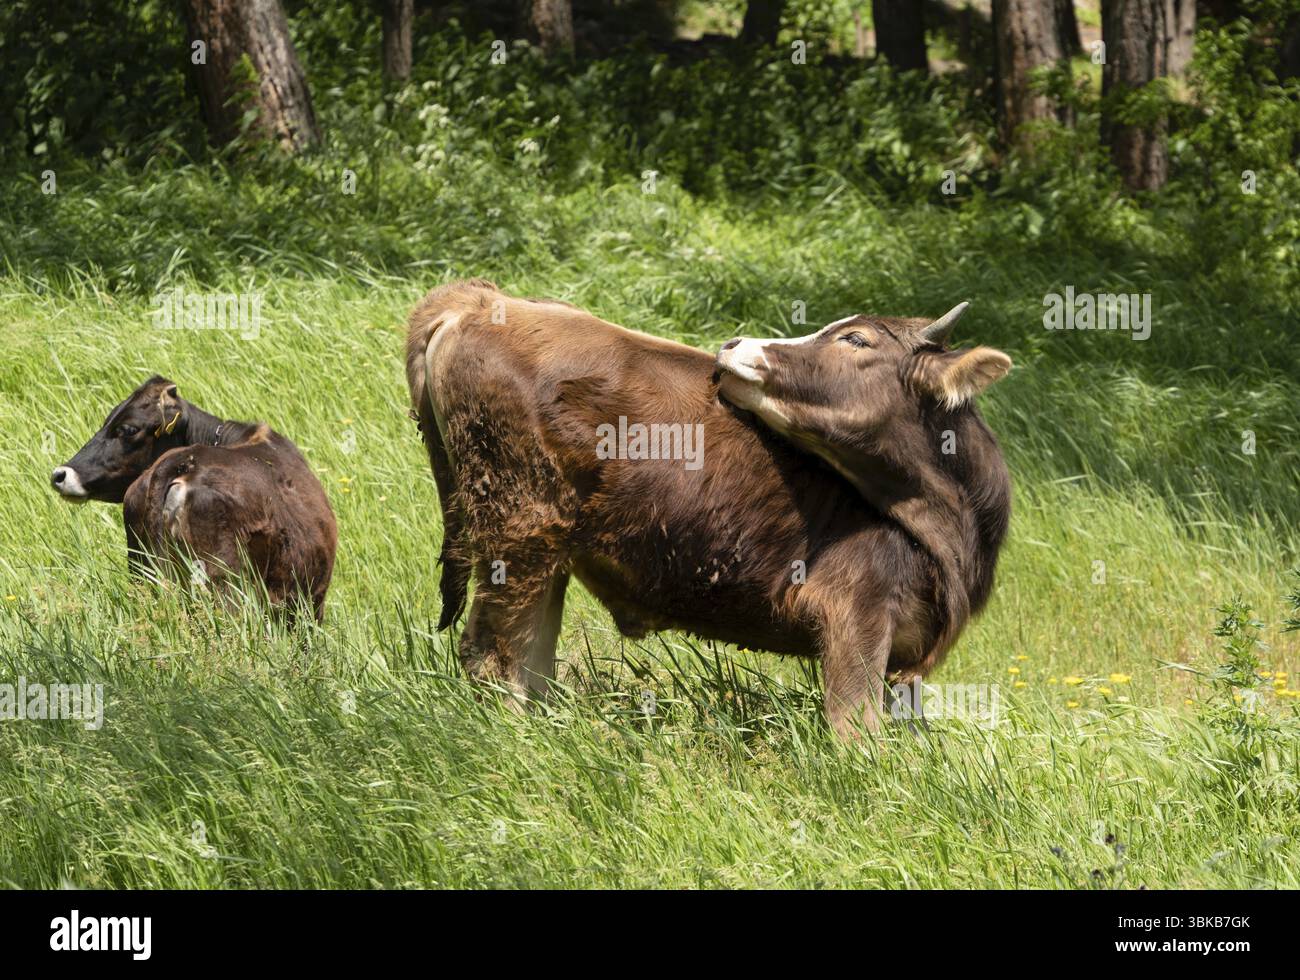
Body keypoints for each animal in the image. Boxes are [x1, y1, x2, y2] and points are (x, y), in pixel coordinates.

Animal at [405, 280, 1012, 739]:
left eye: (856, 339)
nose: (733, 341)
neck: (952, 534)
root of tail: (478, 301)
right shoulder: (855, 616)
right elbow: (856, 735)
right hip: (518, 534)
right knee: (496, 660)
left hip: (543, 553)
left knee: (533, 666)